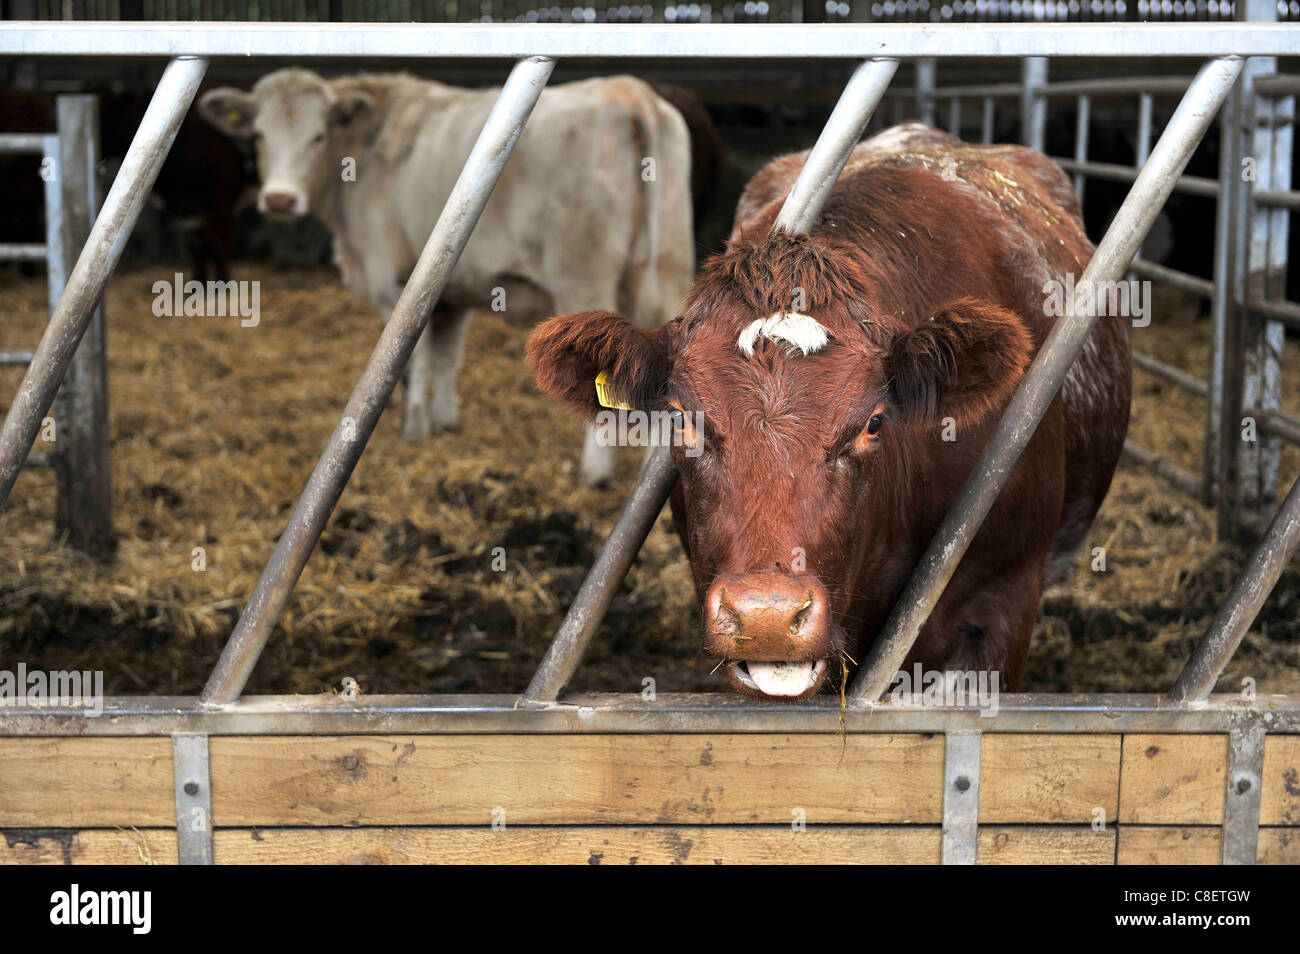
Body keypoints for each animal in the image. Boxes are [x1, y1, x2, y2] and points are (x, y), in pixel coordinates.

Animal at [198, 69, 694, 486]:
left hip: (582, 280)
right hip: (669, 274)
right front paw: (445, 421)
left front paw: (413, 427)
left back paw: (595, 471)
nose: (279, 199)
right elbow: (445, 358)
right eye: (258, 135)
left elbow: (410, 360)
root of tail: (628, 91)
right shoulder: (454, 293)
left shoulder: (394, 284)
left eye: (318, 136)